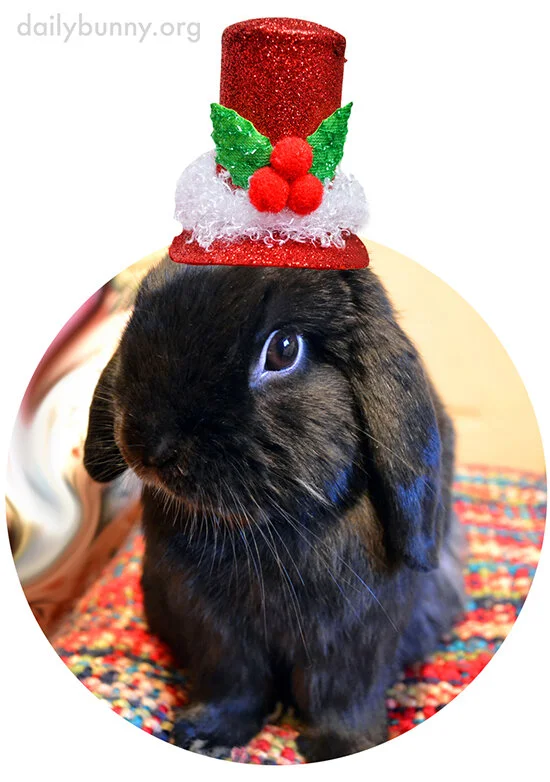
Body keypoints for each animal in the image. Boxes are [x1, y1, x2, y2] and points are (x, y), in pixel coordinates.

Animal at [83, 257, 465, 762]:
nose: (150, 446)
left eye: (284, 350)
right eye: (138, 312)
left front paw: (343, 748)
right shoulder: (212, 628)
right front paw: (206, 735)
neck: (266, 527)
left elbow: (342, 694)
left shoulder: (356, 633)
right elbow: (232, 682)